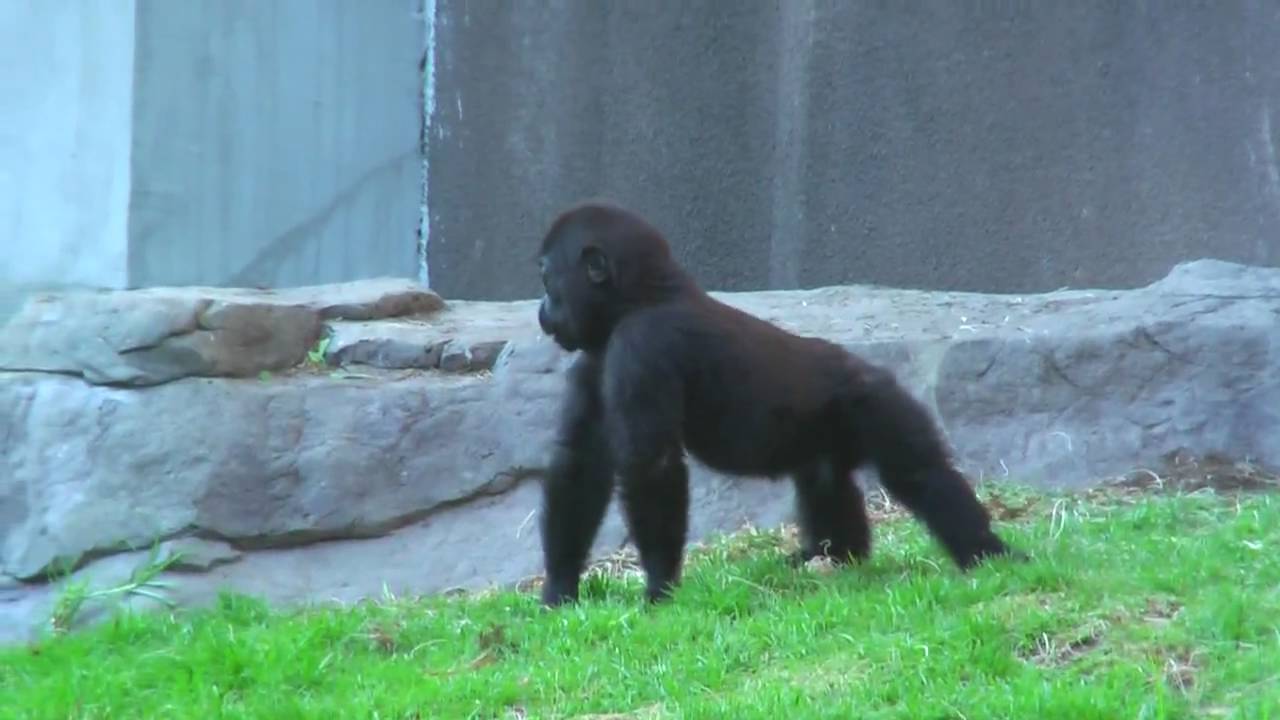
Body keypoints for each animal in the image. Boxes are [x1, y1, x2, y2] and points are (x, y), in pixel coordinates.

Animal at [534, 201, 1022, 606]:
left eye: (547, 279)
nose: (541, 309)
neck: (644, 295)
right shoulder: (597, 353)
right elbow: (581, 461)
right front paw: (561, 585)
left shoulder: (643, 344)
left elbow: (650, 464)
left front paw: (659, 586)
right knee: (824, 476)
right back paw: (838, 555)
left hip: (876, 402)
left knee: (920, 472)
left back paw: (987, 551)